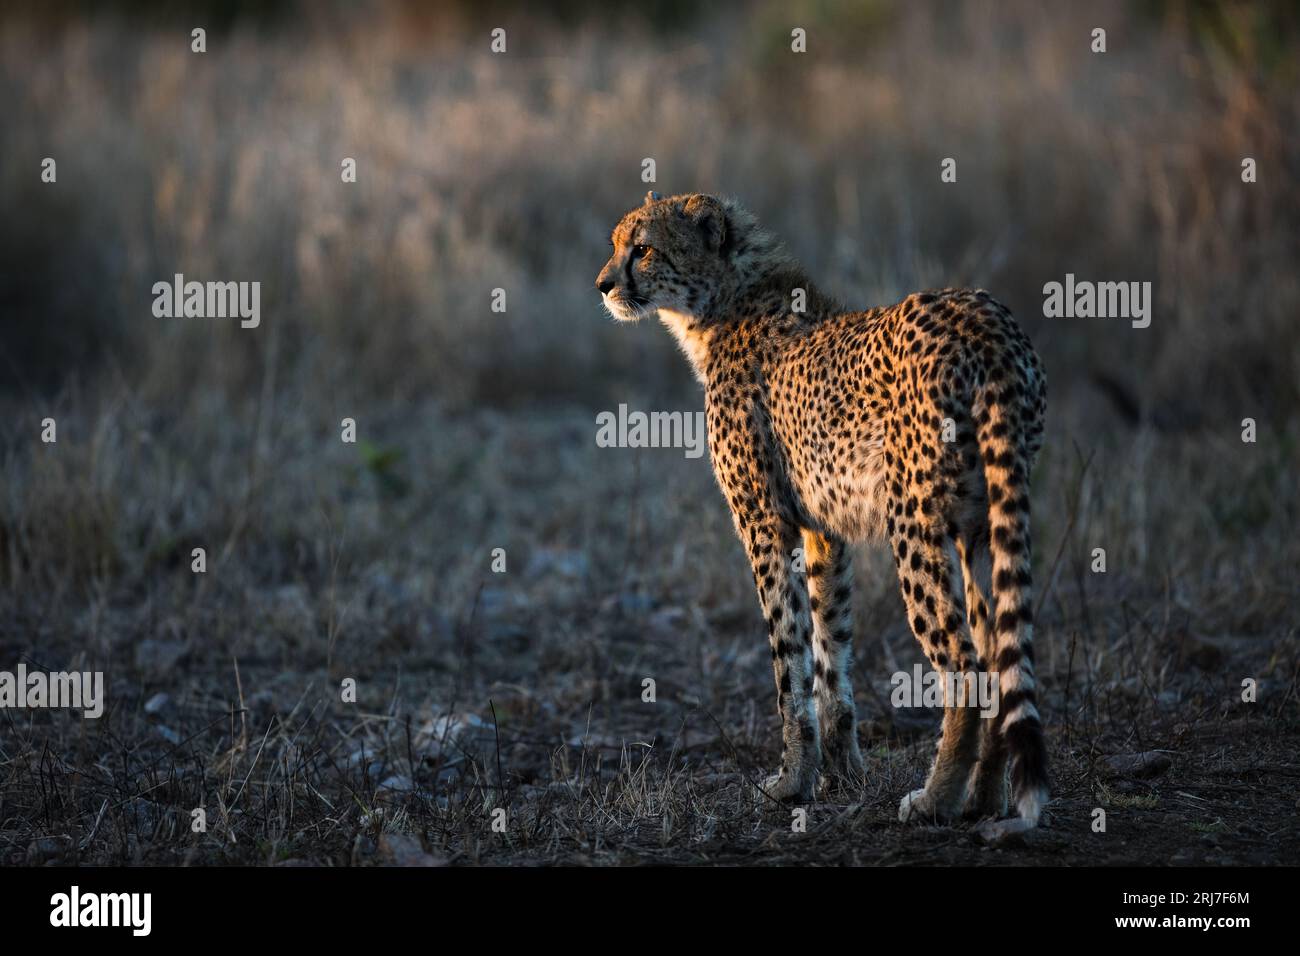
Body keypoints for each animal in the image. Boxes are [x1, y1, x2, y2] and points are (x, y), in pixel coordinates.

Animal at [596, 191, 1049, 838]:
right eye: (616, 244)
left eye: (643, 248)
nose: (604, 284)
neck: (721, 303)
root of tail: (983, 319)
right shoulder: (824, 533)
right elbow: (832, 657)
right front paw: (841, 775)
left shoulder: (763, 525)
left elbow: (789, 662)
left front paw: (791, 783)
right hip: (980, 523)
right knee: (993, 655)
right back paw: (982, 798)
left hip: (913, 519)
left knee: (963, 664)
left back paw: (934, 799)